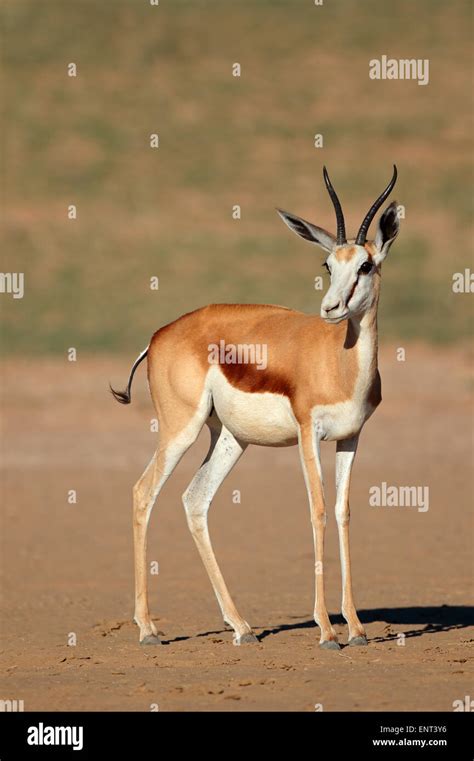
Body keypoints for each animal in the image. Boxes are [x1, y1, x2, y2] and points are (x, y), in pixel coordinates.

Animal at [111, 166, 400, 649]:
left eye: (366, 265)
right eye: (327, 265)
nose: (331, 308)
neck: (338, 361)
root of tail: (159, 336)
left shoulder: (352, 437)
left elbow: (342, 513)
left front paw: (357, 628)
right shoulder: (308, 433)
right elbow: (318, 510)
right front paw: (327, 631)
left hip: (230, 439)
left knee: (194, 499)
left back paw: (242, 627)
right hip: (180, 430)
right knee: (143, 492)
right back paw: (148, 629)